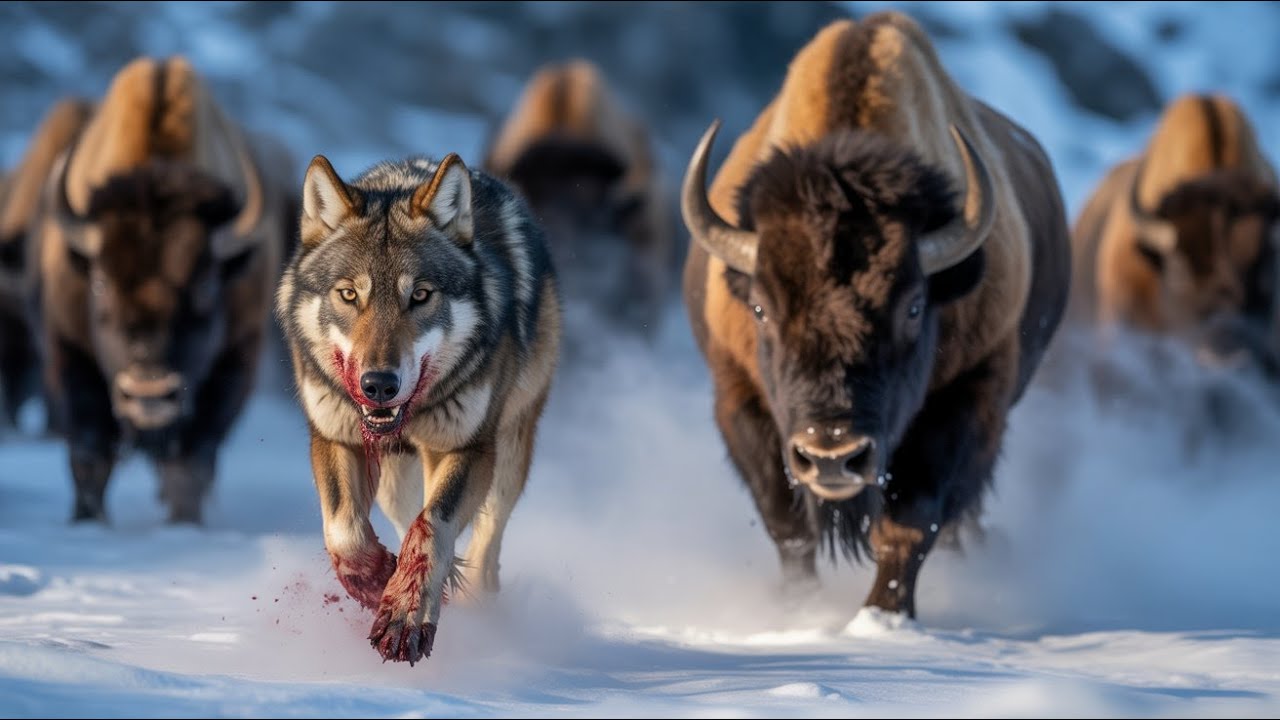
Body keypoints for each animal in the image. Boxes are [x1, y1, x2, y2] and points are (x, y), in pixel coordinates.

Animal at [277, 153, 560, 665]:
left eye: (421, 295)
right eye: (349, 295)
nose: (378, 385)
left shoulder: (467, 448)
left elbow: (431, 528)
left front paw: (405, 616)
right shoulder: (335, 437)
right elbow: (344, 531)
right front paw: (376, 581)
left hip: (508, 452)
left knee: (484, 542)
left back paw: (483, 613)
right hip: (395, 478)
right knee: (403, 515)